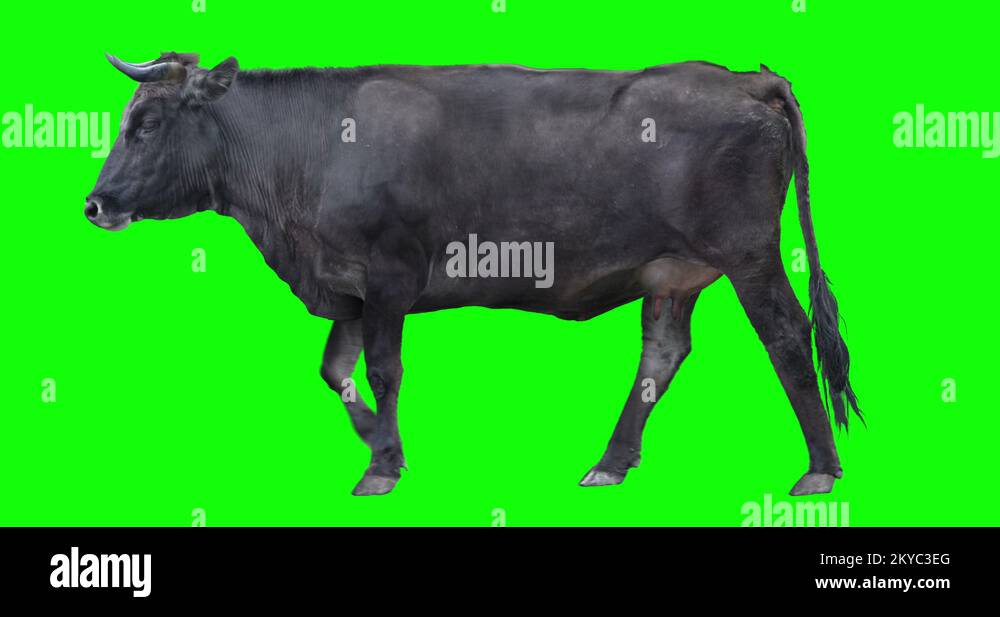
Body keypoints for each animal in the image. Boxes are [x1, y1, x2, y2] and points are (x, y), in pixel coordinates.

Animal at [86, 52, 862, 496]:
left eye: (146, 124)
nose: (94, 205)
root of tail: (746, 79)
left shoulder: (390, 276)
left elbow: (381, 369)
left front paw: (383, 463)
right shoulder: (345, 286)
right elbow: (333, 371)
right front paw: (378, 443)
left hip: (749, 253)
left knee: (787, 337)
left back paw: (821, 469)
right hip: (671, 272)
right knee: (662, 354)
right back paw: (611, 461)